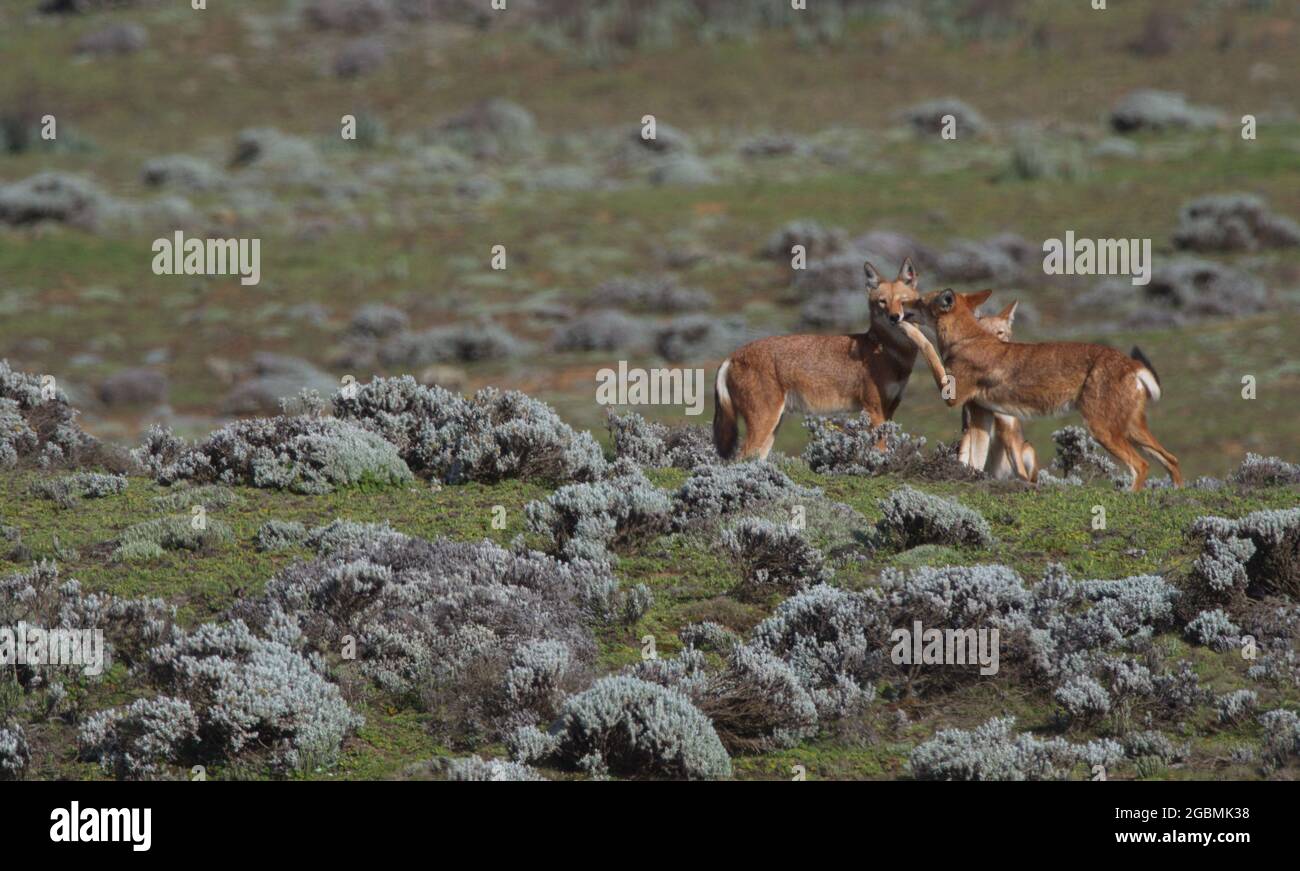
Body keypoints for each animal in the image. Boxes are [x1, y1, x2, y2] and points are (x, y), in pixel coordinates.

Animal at [714, 258, 923, 460]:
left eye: (903, 301)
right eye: (882, 302)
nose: (894, 317)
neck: (890, 352)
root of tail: (731, 356)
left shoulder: (889, 411)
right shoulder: (874, 410)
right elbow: (880, 453)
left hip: (772, 427)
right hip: (765, 423)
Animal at [903, 288, 1182, 491]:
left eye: (919, 301)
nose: (902, 309)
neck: (966, 339)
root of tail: (1131, 363)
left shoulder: (952, 398)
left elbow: (927, 348)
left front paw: (907, 329)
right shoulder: (981, 416)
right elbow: (975, 460)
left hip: (1103, 431)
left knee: (1142, 465)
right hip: (1130, 430)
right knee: (1171, 459)